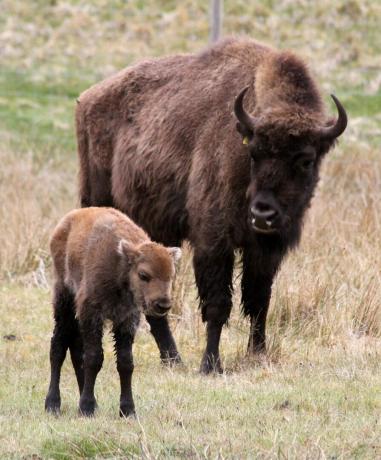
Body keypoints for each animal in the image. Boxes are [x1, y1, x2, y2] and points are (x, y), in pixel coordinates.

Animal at [44, 207, 181, 416]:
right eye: (144, 275)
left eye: (171, 275)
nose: (163, 304)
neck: (121, 268)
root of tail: (65, 222)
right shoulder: (92, 313)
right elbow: (94, 358)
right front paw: (86, 407)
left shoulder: (126, 319)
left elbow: (125, 362)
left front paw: (128, 409)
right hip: (64, 300)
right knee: (58, 347)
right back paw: (52, 404)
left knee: (75, 349)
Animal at [75, 36, 346, 374]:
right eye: (254, 153)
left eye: (306, 160)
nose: (263, 214)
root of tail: (88, 99)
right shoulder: (214, 242)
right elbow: (218, 304)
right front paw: (210, 364)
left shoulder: (265, 250)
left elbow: (259, 301)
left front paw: (257, 354)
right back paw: (172, 357)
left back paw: (172, 358)